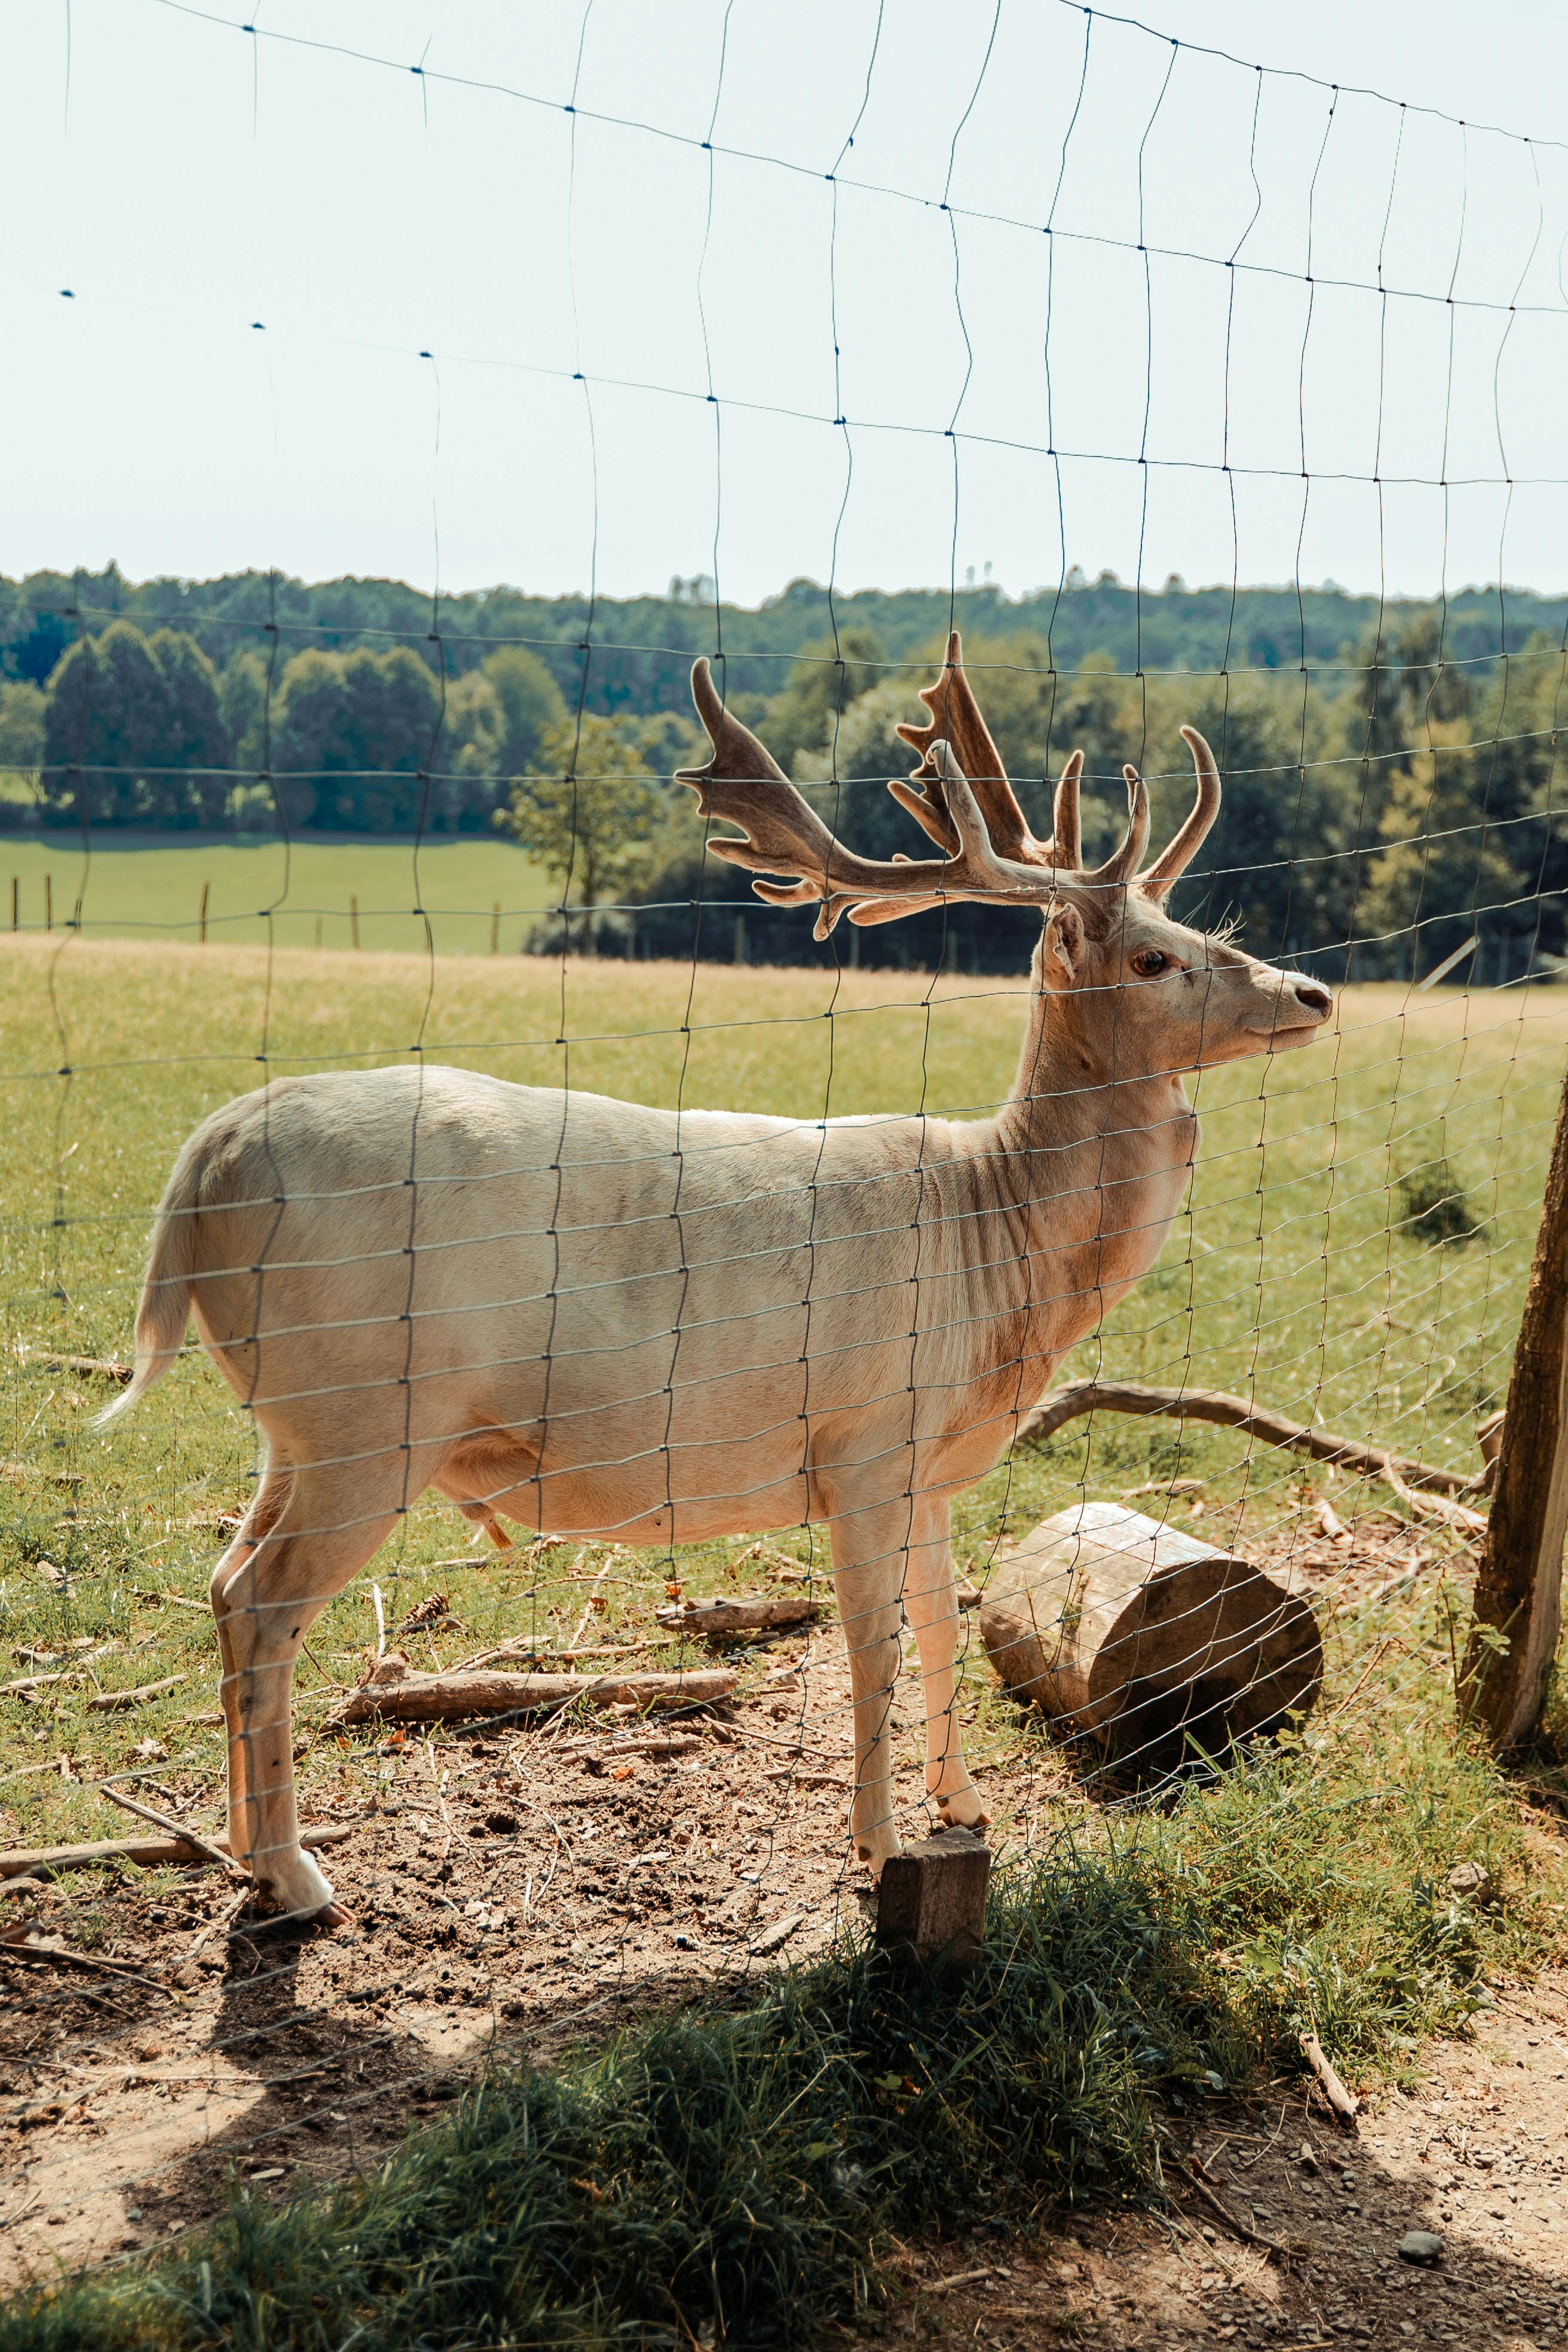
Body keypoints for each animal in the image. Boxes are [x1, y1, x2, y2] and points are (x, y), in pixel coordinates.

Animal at [99, 634, 1333, 1926]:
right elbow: (871, 1646)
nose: (1311, 995)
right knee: (266, 1599)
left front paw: (963, 1809)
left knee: (224, 1580)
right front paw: (874, 1851)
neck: (995, 1261)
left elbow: (943, 1626)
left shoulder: (926, 1461)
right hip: (370, 1416)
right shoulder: (861, 1437)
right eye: (1153, 956)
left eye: (1192, 923)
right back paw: (295, 1873)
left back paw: (245, 1851)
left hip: (294, 1426)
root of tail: (200, 1170)